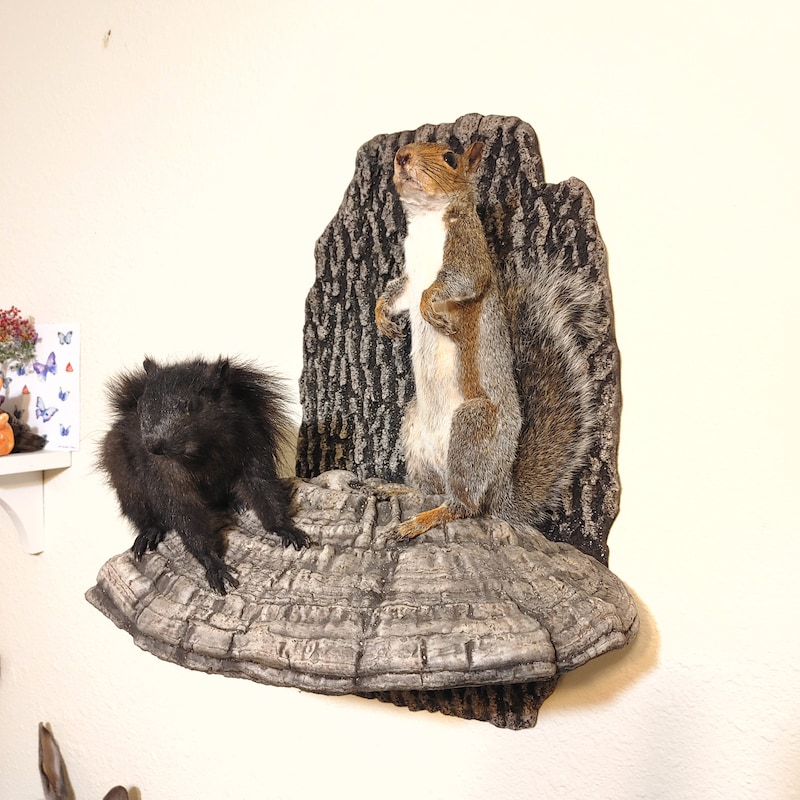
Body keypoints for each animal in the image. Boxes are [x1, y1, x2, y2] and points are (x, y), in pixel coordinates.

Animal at [99, 356, 308, 594]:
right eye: (140, 405)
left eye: (191, 405)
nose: (153, 445)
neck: (201, 449)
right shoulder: (166, 474)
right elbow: (184, 513)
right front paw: (212, 563)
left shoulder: (251, 442)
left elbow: (262, 487)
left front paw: (285, 527)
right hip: (126, 481)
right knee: (143, 513)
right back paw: (149, 532)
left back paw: (236, 503)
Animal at [376, 141, 601, 540]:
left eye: (450, 157)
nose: (402, 157)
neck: (427, 220)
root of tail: (500, 488)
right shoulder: (410, 276)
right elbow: (398, 293)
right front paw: (380, 315)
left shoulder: (468, 255)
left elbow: (456, 283)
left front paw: (430, 310)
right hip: (414, 425)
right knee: (432, 488)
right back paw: (404, 491)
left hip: (473, 425)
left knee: (465, 505)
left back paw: (425, 519)